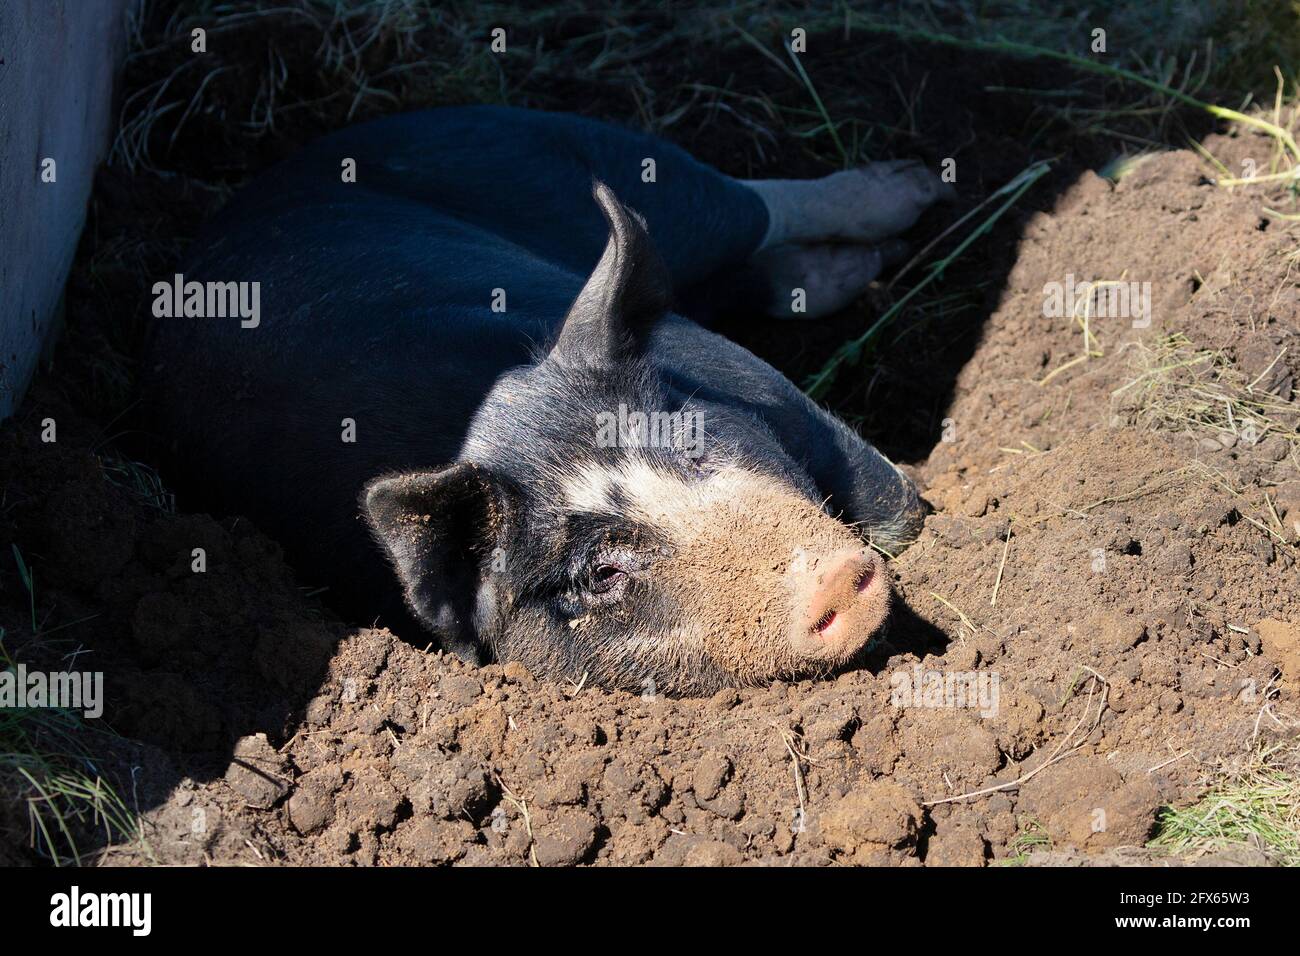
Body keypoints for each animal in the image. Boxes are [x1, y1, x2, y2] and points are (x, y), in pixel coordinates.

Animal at [145, 106, 949, 696]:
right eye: (600, 573)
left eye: (694, 445)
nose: (831, 576)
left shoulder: (747, 379)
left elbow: (895, 503)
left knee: (748, 203)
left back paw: (910, 188)